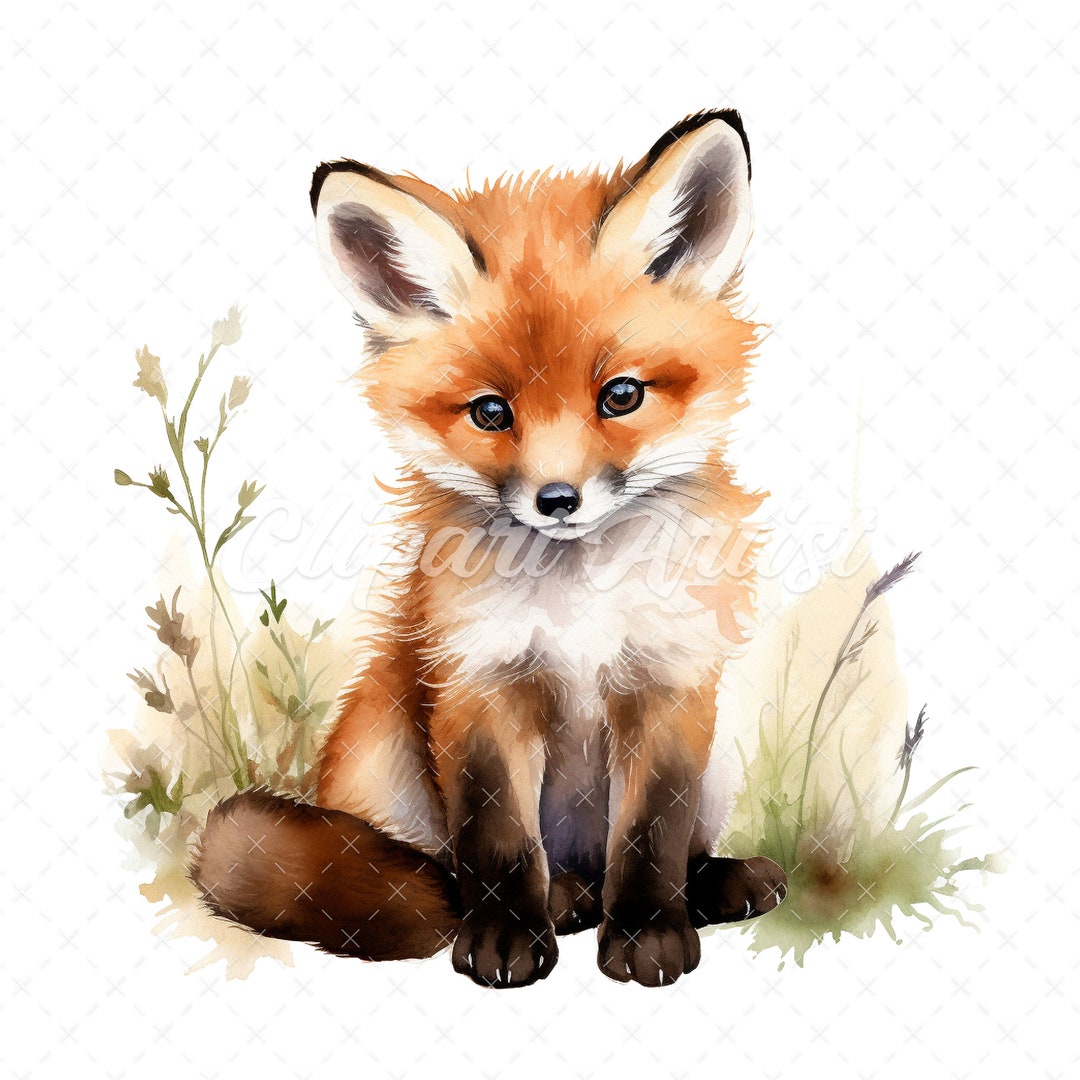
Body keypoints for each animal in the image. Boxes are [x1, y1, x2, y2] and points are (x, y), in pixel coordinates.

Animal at [192, 108, 787, 988]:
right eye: (490, 412)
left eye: (621, 396)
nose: (558, 500)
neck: (579, 606)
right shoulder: (478, 686)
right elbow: (498, 839)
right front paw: (506, 938)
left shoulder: (670, 683)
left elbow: (651, 835)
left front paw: (648, 931)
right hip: (386, 757)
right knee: (455, 869)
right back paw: (565, 902)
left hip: (717, 762)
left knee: (667, 852)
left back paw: (706, 884)